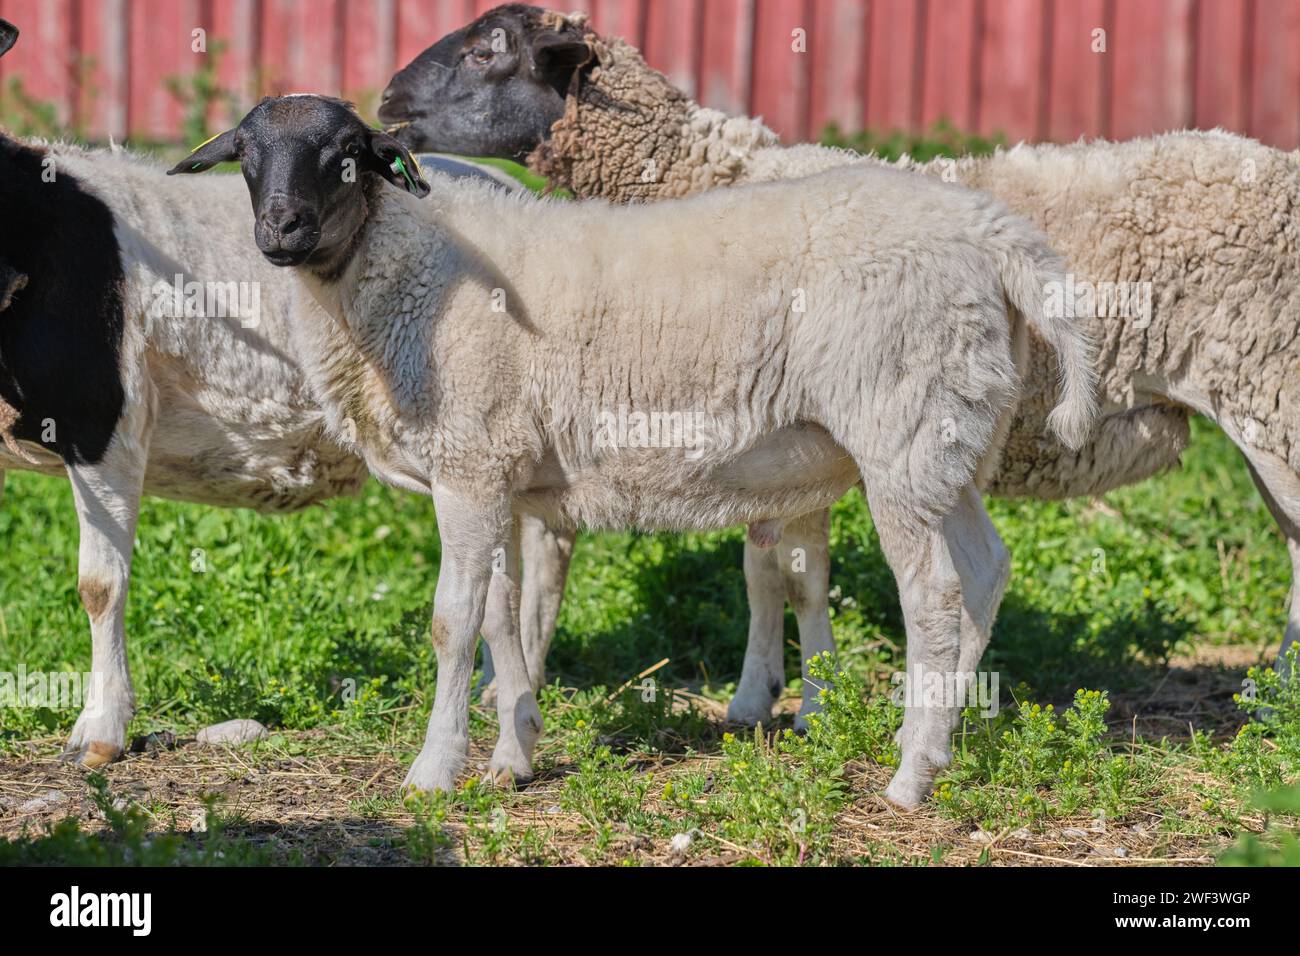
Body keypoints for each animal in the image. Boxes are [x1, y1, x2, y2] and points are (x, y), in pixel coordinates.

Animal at [170, 94, 1097, 806]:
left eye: (345, 157)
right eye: (246, 156)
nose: (281, 229)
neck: (409, 274)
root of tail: (992, 235)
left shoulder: (469, 464)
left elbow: (453, 622)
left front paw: (435, 770)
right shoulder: (500, 472)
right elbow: (507, 618)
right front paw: (514, 753)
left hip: (899, 423)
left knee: (933, 593)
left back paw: (911, 775)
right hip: (952, 430)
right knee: (985, 569)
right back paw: (950, 732)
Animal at [380, 4, 1300, 713]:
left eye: (491, 48)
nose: (385, 95)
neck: (696, 177)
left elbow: (794, 578)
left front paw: (806, 704)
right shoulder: (764, 435)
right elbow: (765, 572)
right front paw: (762, 697)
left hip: (1270, 392)